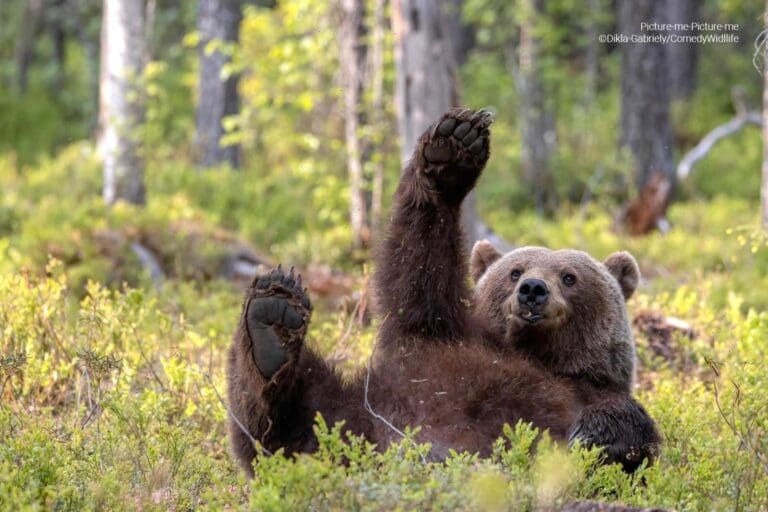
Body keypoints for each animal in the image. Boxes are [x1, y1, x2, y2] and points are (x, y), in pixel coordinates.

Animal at [226, 107, 659, 476]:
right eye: (515, 271)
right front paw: (451, 152)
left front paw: (591, 438)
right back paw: (272, 322)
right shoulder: (433, 339)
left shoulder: (590, 390)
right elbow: (417, 268)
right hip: (357, 419)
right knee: (289, 422)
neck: (536, 355)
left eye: (570, 276)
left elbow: (630, 431)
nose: (533, 290)